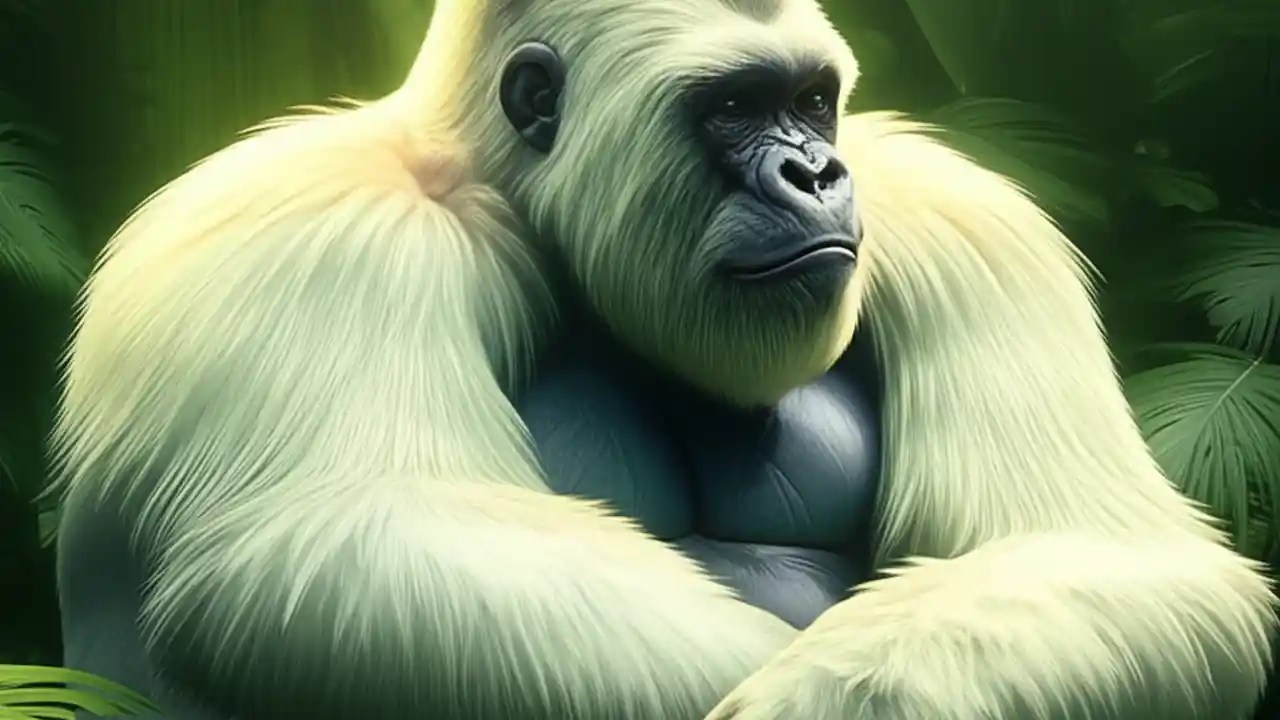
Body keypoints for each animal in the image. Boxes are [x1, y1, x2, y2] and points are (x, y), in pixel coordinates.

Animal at [52, 0, 1277, 718]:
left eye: (812, 99)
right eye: (733, 106)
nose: (817, 174)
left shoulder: (970, 230)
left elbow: (1106, 548)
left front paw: (840, 697)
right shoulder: (318, 232)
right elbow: (336, 541)